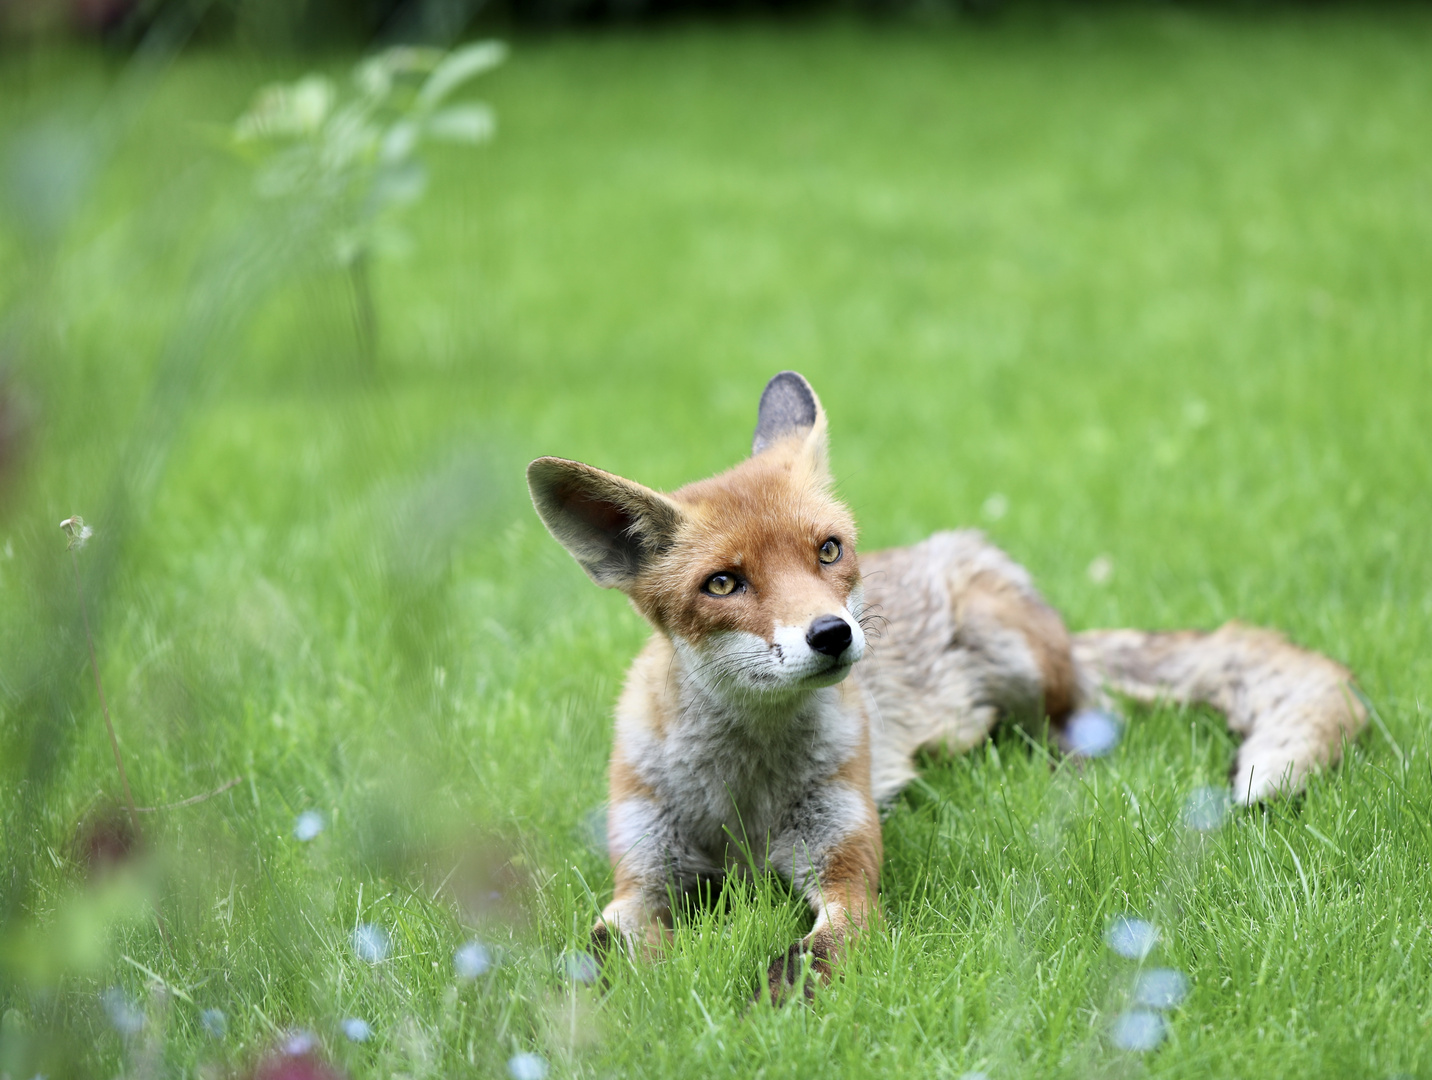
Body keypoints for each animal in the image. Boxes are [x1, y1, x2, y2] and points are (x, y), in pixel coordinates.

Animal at [526, 370, 1366, 1002]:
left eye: (828, 550)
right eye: (724, 583)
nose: (832, 634)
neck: (743, 795)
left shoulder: (847, 879)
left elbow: (811, 959)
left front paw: (760, 1012)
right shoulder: (643, 881)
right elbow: (587, 953)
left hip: (1019, 652)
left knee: (1086, 720)